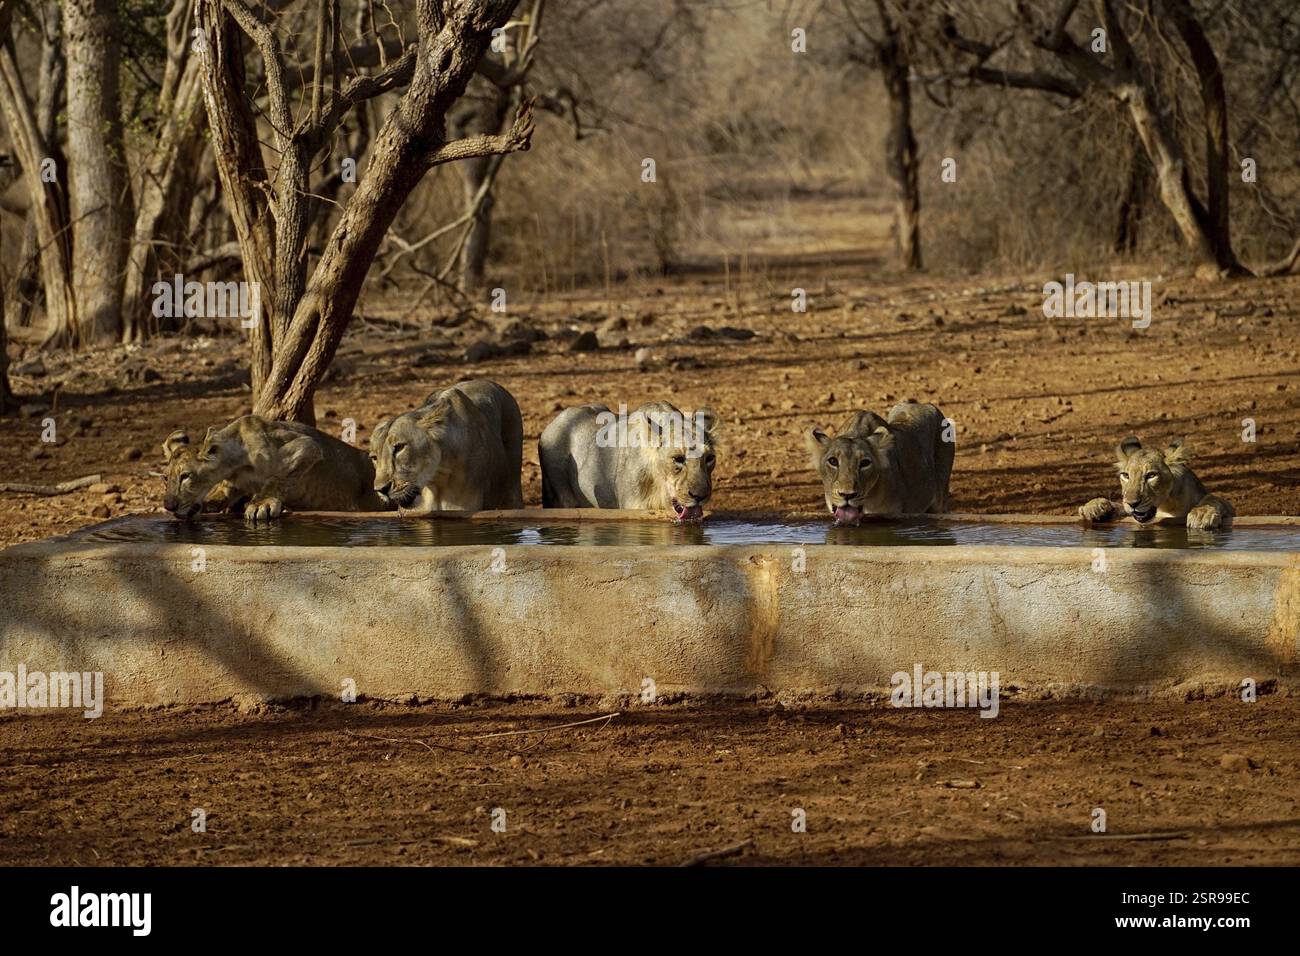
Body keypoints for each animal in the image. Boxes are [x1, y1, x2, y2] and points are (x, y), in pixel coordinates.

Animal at [161, 416, 387, 522]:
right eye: (165, 478)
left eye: (185, 476)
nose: (168, 505)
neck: (235, 466)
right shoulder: (235, 481)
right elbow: (225, 490)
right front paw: (211, 502)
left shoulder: (306, 445)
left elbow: (278, 478)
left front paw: (261, 504)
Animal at [1078, 436, 1233, 530]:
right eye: (1126, 475)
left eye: (1151, 475)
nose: (1132, 503)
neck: (1165, 506)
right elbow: (1119, 505)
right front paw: (1094, 506)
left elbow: (1213, 499)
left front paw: (1201, 515)